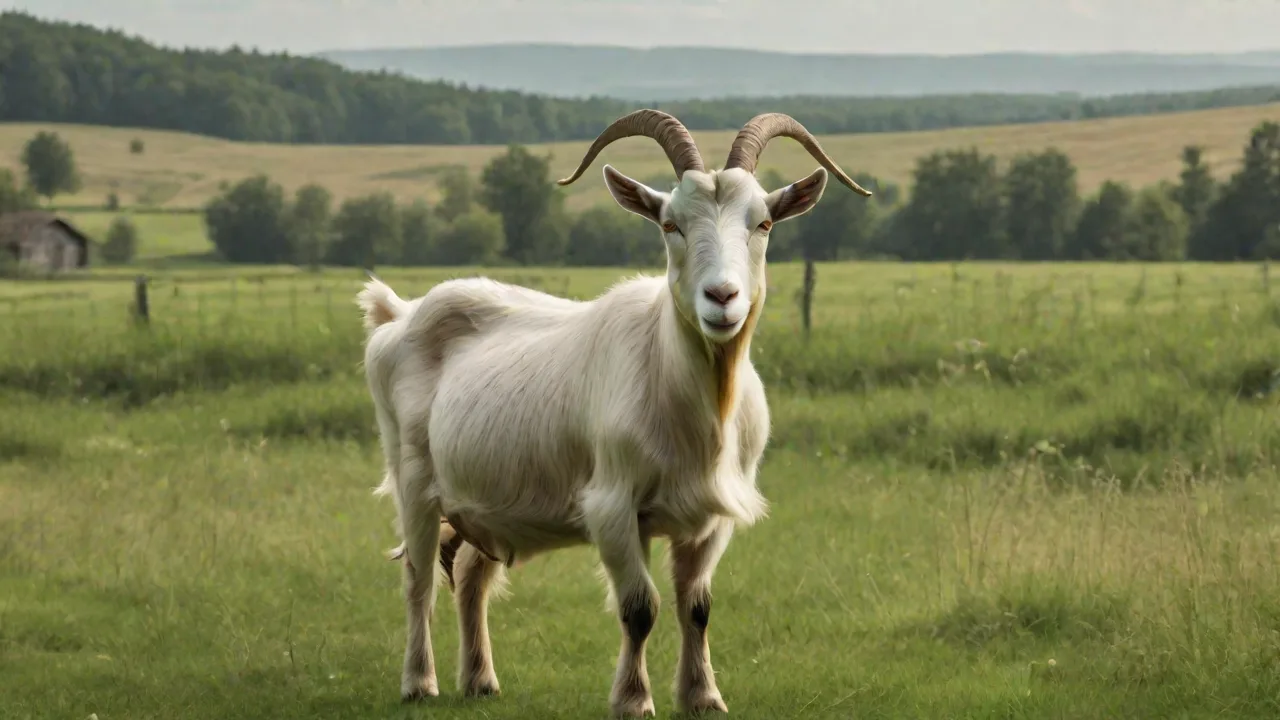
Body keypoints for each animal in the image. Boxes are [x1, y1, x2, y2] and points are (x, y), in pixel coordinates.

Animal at [357, 109, 871, 717]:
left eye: (764, 223)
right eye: (671, 224)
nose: (722, 297)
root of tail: (398, 314)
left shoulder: (712, 515)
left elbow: (697, 606)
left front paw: (703, 695)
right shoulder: (614, 505)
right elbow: (639, 607)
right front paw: (633, 700)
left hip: (489, 495)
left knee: (469, 576)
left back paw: (481, 680)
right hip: (412, 475)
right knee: (417, 580)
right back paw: (420, 682)